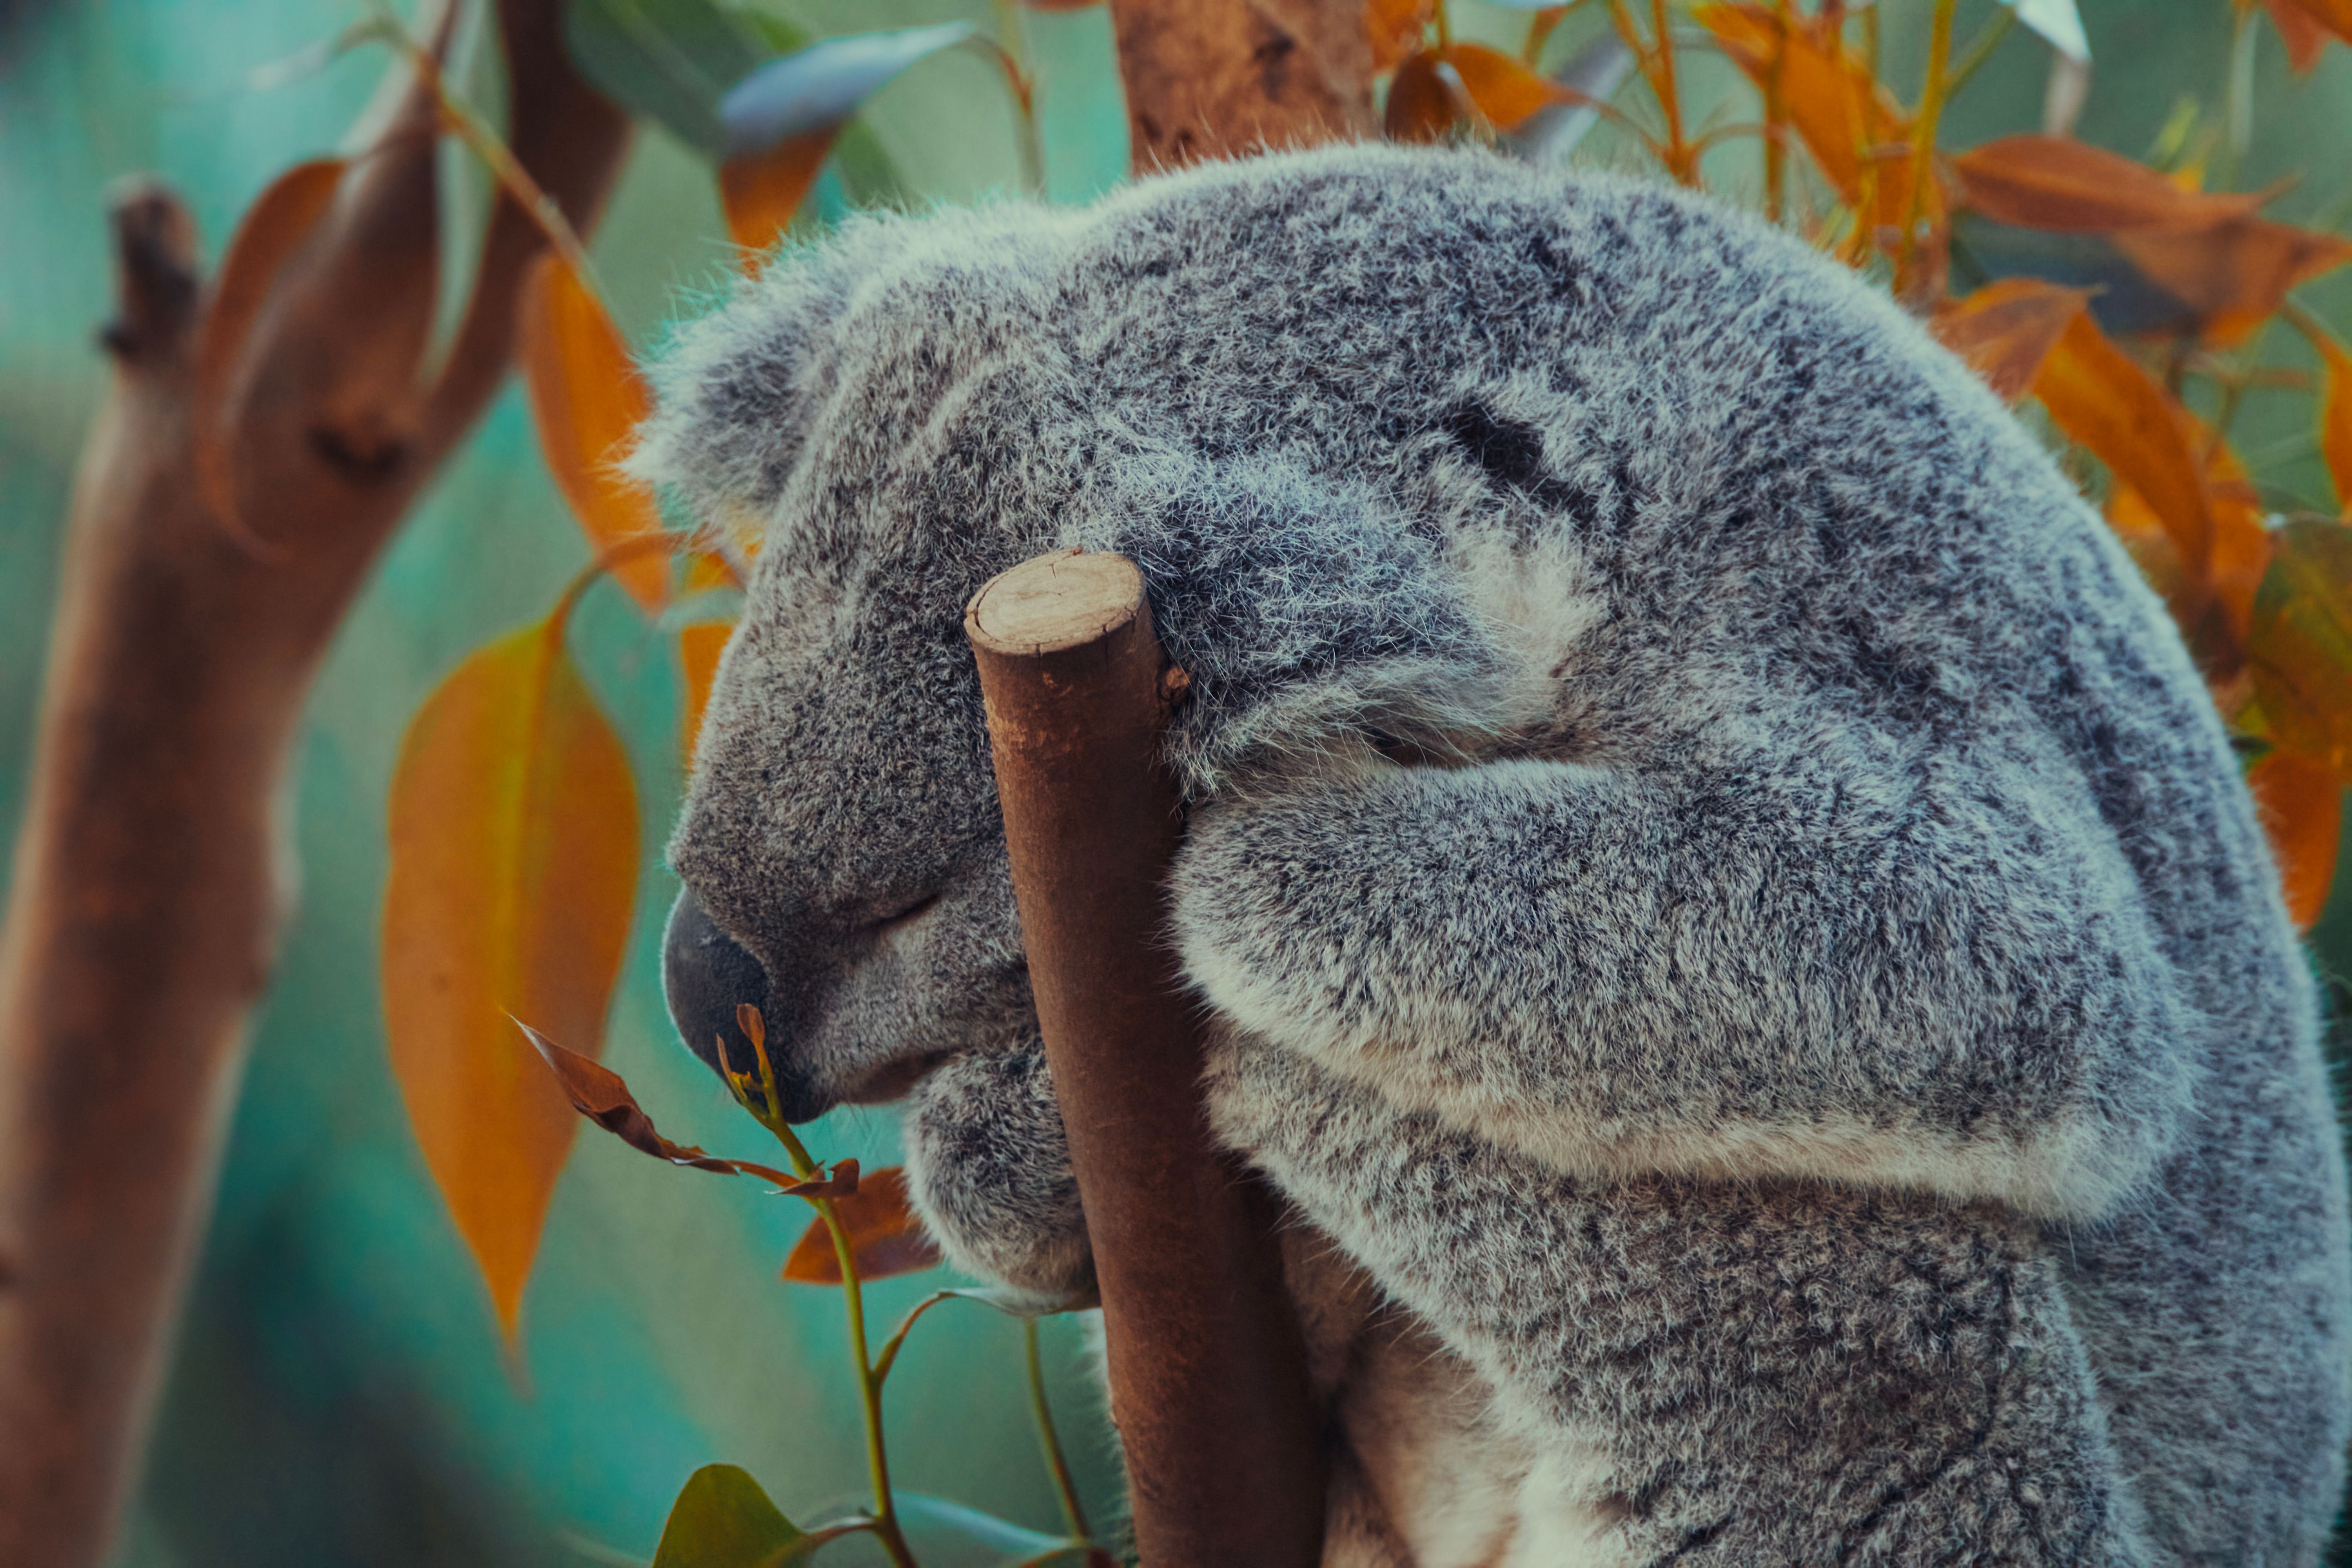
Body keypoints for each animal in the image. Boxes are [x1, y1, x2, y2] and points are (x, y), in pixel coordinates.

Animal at [634, 142, 2352, 1565]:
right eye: (702, 808)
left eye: (900, 903)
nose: (721, 1021)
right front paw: (1002, 1151)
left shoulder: (1825, 640)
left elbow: (2025, 979)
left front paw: (1222, 901)